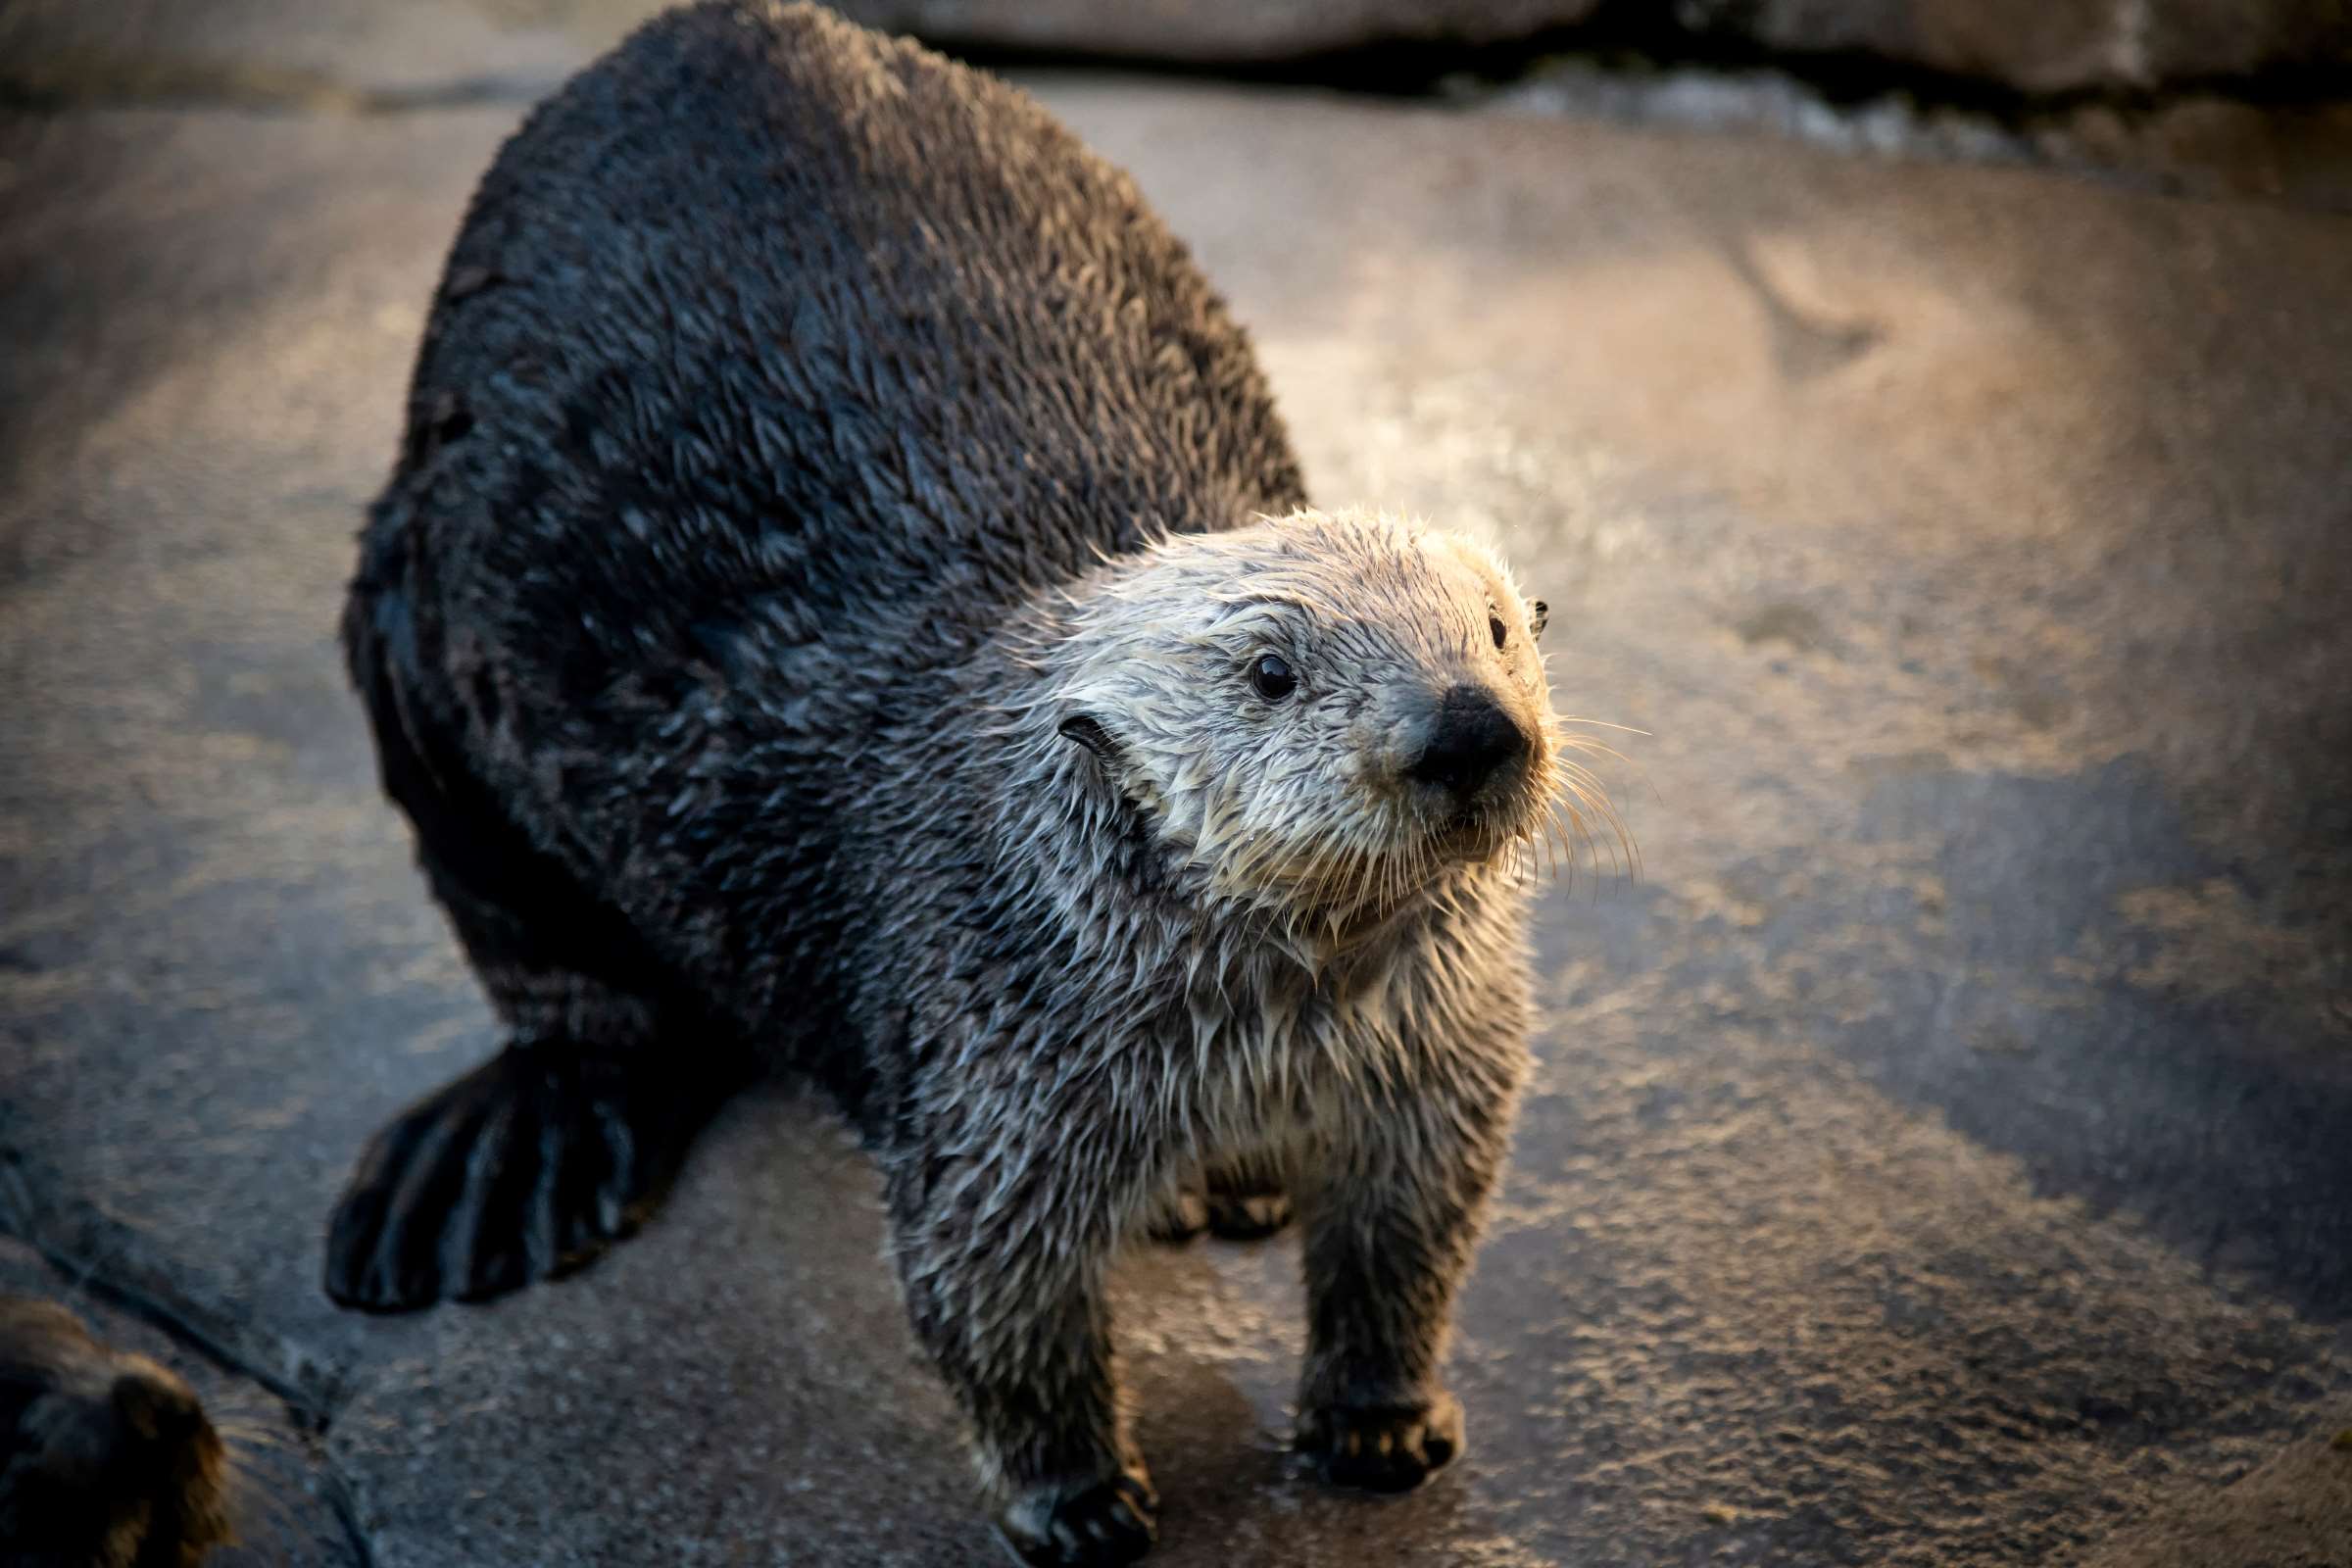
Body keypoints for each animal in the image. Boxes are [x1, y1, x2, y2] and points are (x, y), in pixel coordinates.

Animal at [323, 4, 1579, 1562]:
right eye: (1271, 670)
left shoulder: (1438, 1059)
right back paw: (505, 1164)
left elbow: (1412, 1233)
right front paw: (1080, 1500)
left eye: (1495, 626)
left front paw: (1382, 1418)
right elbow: (990, 1297)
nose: (1467, 727)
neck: (1280, 1030)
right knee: (561, 984)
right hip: (410, 631)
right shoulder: (986, 1074)